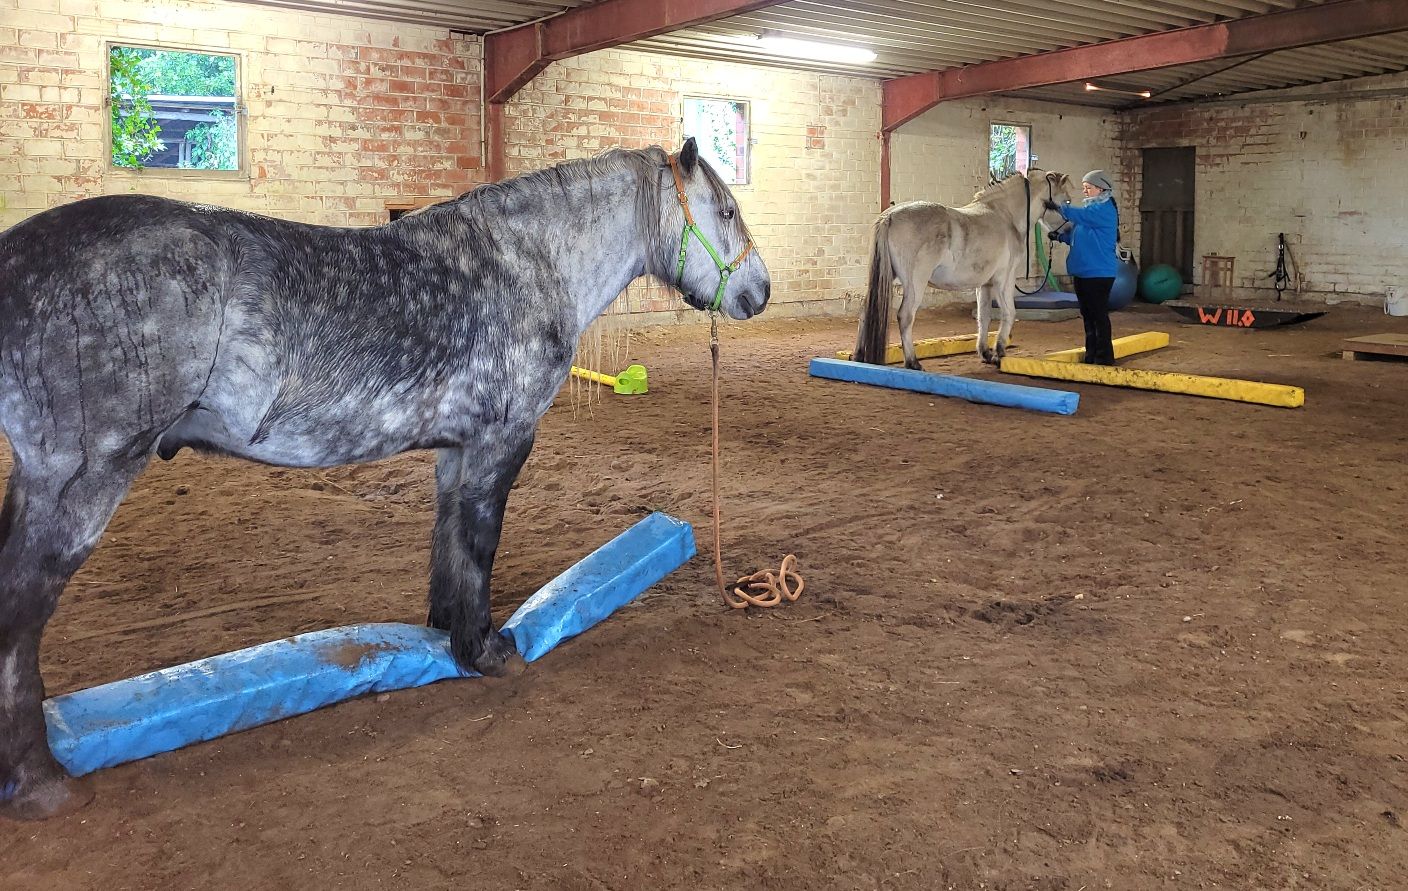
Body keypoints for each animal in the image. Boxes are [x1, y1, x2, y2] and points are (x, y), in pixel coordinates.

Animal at [0, 137, 769, 820]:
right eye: (726, 209)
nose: (760, 292)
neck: (524, 263)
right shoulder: (501, 441)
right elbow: (481, 541)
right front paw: (490, 651)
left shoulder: (456, 449)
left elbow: (449, 542)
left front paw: (447, 639)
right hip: (80, 481)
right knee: (20, 610)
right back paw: (41, 783)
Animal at [852, 169, 1075, 369]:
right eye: (1067, 201)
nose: (1070, 231)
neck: (1005, 217)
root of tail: (889, 217)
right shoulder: (1004, 279)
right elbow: (1009, 312)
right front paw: (999, 353)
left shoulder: (984, 284)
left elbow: (984, 316)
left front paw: (985, 352)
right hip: (916, 283)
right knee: (905, 316)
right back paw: (913, 362)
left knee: (865, 312)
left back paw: (858, 356)